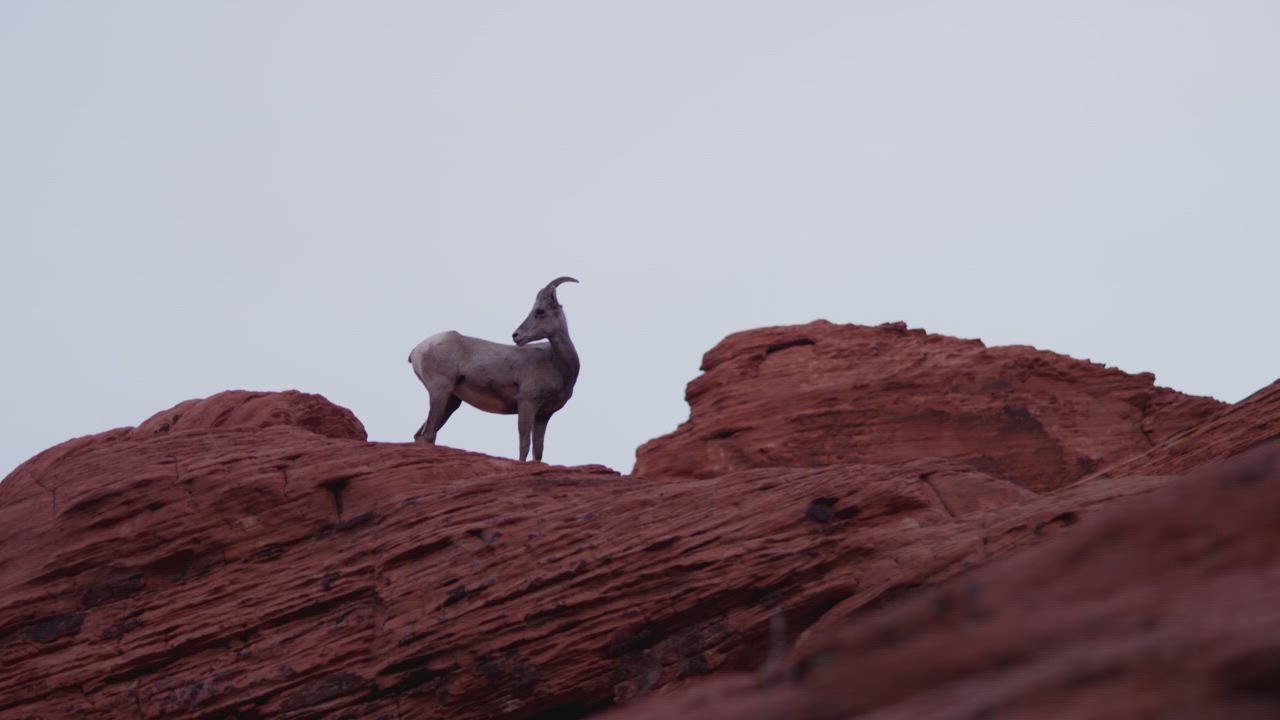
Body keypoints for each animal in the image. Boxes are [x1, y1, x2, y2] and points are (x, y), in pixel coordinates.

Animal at [408, 277, 580, 462]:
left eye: (540, 312)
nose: (516, 336)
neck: (557, 364)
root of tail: (417, 350)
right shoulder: (527, 403)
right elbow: (524, 446)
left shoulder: (543, 415)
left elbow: (538, 452)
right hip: (440, 392)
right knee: (428, 434)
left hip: (451, 401)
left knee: (420, 435)